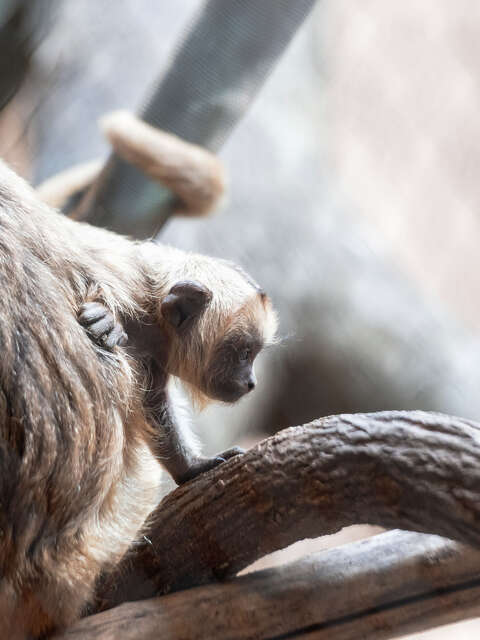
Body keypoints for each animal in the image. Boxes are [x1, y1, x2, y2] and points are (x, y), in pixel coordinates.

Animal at [0, 160, 277, 638]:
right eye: (243, 353)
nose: (251, 382)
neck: (150, 309)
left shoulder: (153, 357)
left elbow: (155, 410)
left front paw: (193, 468)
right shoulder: (124, 298)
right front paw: (105, 321)